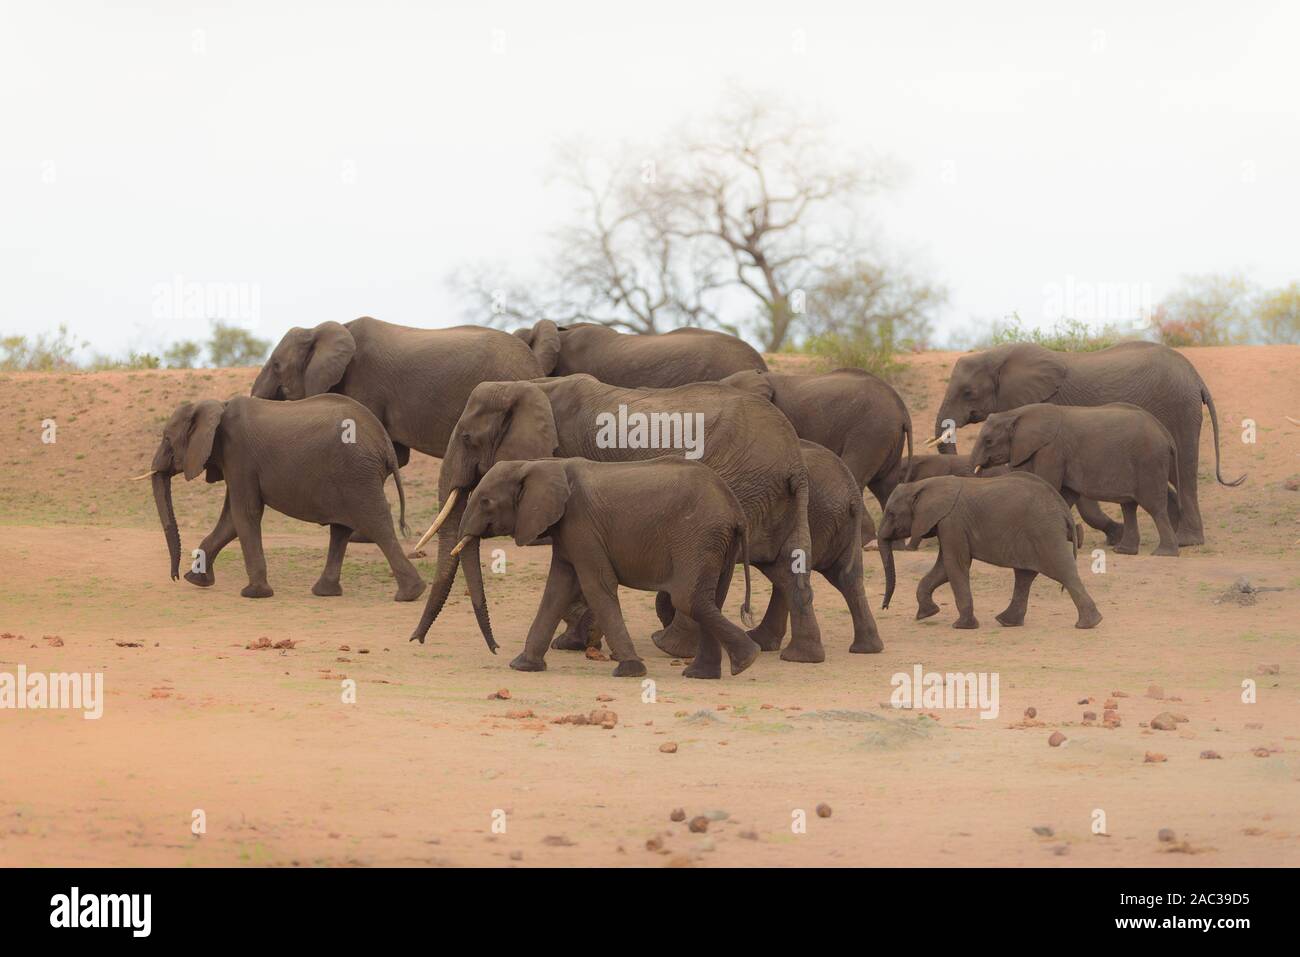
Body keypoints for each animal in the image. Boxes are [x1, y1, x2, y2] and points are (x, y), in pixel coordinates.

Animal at [141, 395, 425, 601]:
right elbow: (231, 520)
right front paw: (197, 579)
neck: (216, 405)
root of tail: (384, 442)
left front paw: (254, 594)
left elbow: (244, 514)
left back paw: (410, 594)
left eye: (166, 438)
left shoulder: (239, 456)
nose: (175, 577)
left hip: (357, 476)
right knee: (341, 529)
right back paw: (325, 592)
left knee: (376, 523)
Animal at [453, 457, 761, 679]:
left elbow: (596, 586)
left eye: (485, 502)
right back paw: (703, 674)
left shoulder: (581, 525)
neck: (538, 464)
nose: (495, 649)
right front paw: (522, 666)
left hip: (697, 537)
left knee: (688, 598)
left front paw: (630, 671)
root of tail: (736, 510)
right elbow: (557, 590)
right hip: (717, 542)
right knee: (710, 598)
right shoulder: (567, 531)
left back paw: (747, 659)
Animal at [877, 472, 1102, 630]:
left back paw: (1088, 624)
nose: (884, 607)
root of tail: (1064, 508)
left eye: (891, 514)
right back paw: (1007, 622)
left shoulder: (952, 522)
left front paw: (961, 626)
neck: (923, 484)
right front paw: (927, 614)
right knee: (1024, 576)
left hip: (1045, 532)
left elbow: (954, 565)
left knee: (1063, 571)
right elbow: (944, 568)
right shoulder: (947, 525)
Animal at [968, 402, 1183, 556]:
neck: (1016, 413)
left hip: (1149, 462)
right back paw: (1123, 551)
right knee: (1128, 507)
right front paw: (1073, 538)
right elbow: (1065, 495)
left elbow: (1049, 483)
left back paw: (1164, 554)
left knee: (1154, 507)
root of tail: (1166, 434)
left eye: (988, 441)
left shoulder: (1052, 450)